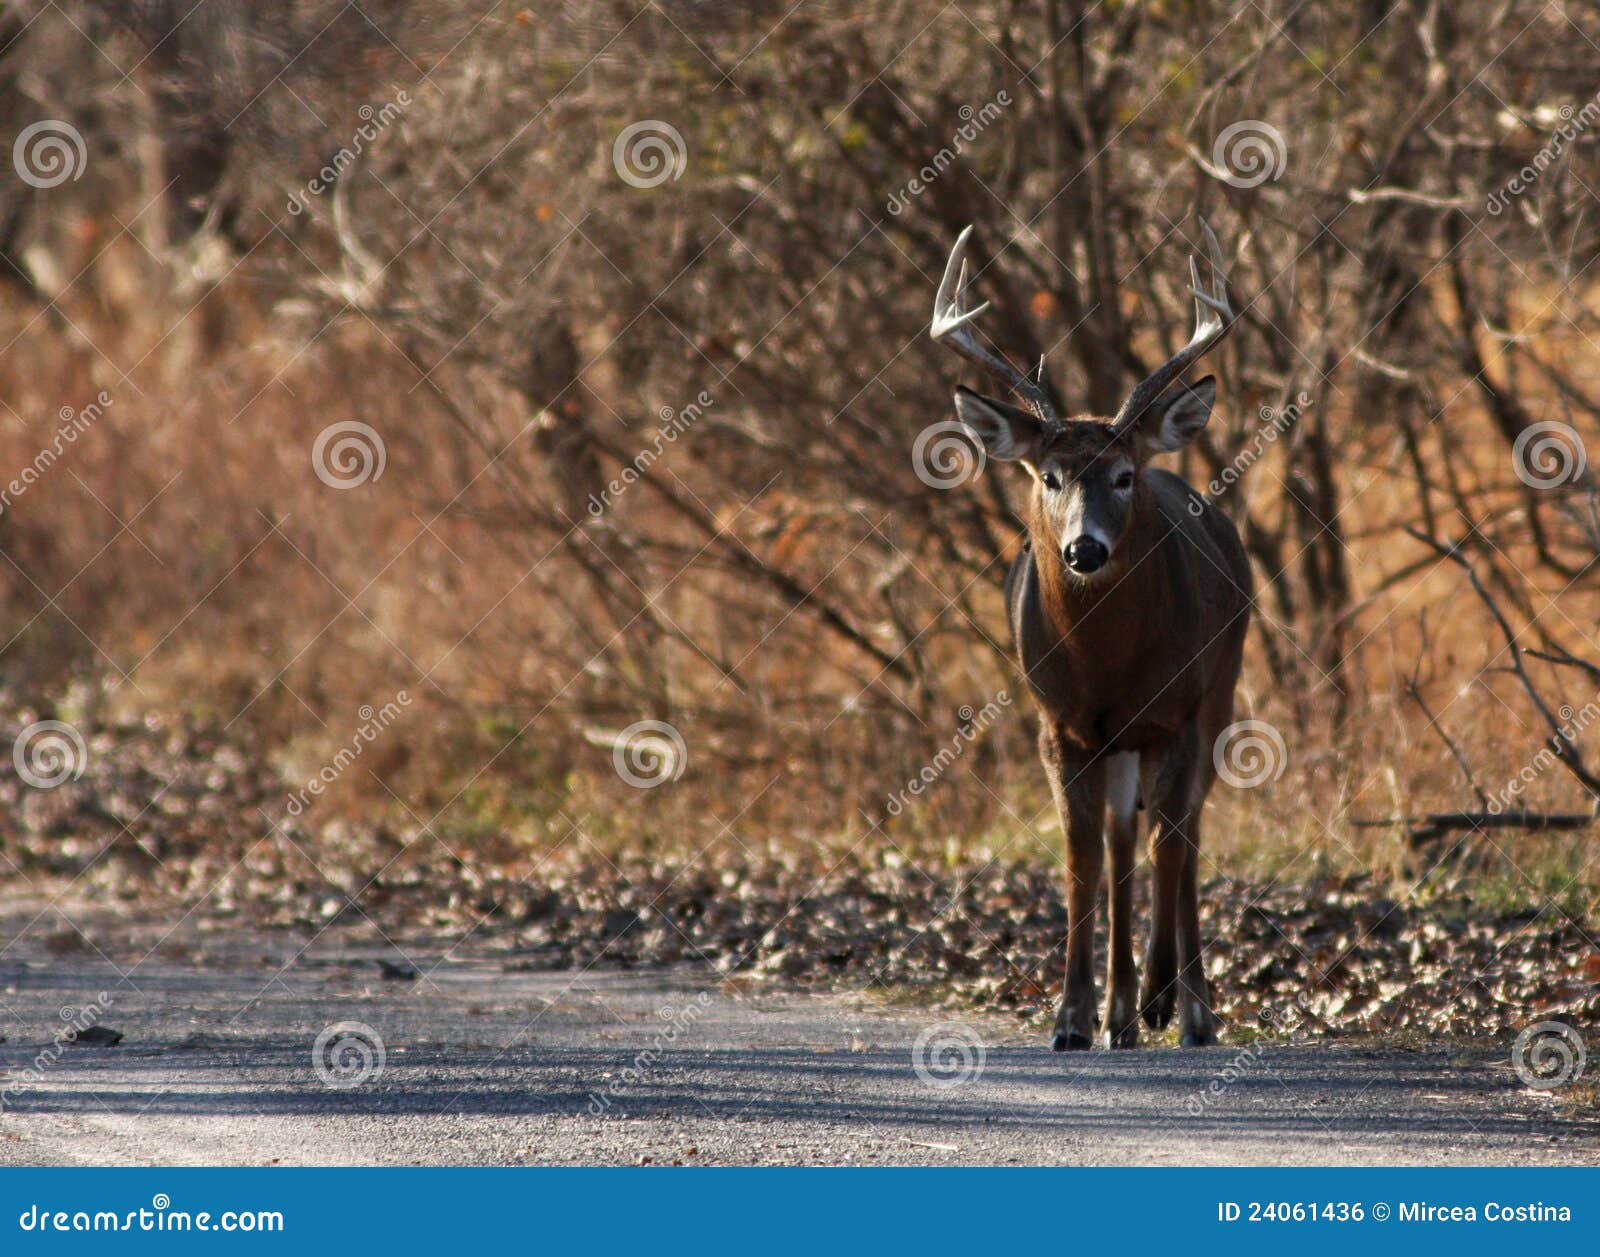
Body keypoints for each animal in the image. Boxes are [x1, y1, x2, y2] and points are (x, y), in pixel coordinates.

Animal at [930, 220, 1252, 1050]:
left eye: (1123, 476)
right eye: (1048, 476)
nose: (1083, 549)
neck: (1107, 664)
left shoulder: (1178, 711)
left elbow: (1174, 844)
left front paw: (1196, 1013)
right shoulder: (1061, 723)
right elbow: (1079, 856)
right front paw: (1072, 1016)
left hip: (1220, 688)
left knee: (1184, 829)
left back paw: (1170, 999)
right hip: (1119, 742)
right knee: (1119, 840)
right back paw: (1125, 1010)